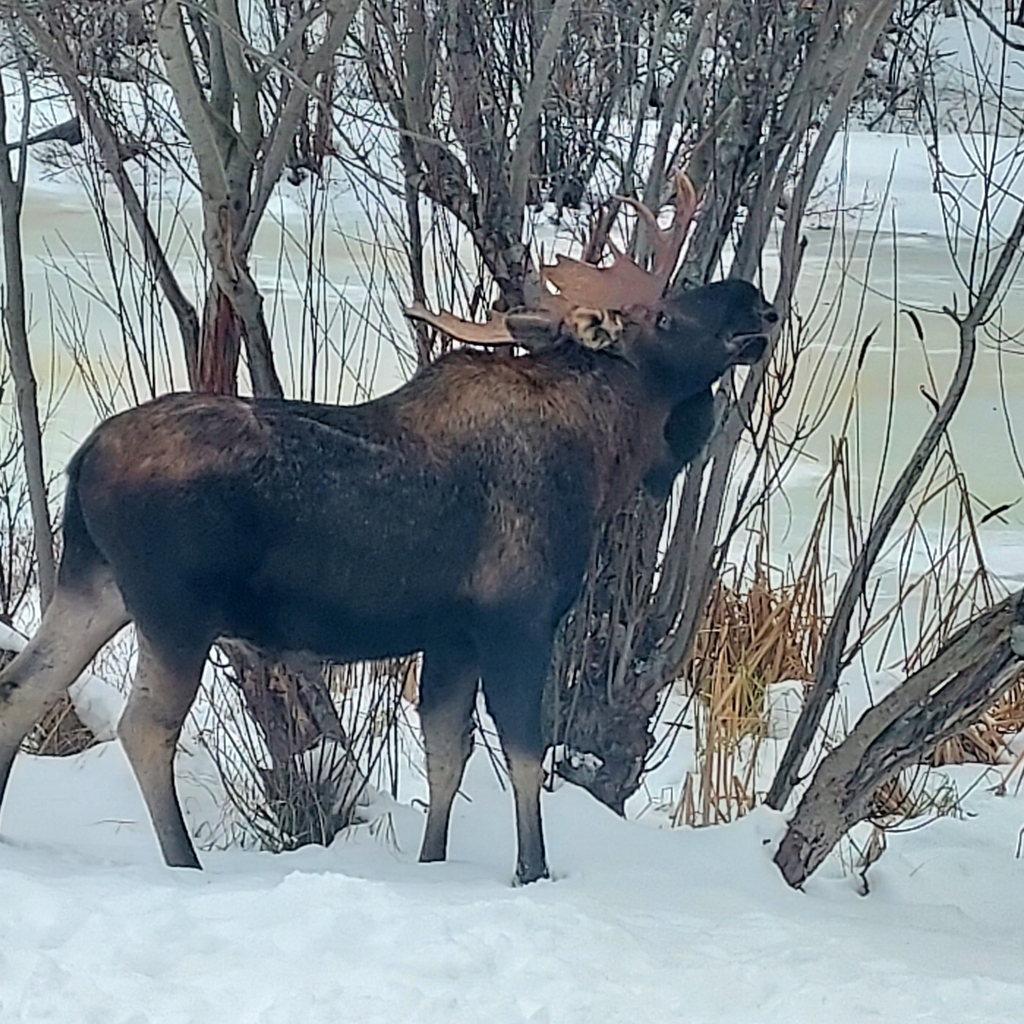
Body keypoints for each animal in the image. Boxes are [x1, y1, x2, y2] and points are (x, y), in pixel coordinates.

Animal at [0, 175, 775, 884]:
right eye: (663, 314)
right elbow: (525, 756)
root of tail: (81, 460)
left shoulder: (451, 636)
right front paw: (532, 870)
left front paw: (433, 863)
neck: (605, 457)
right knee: (143, 728)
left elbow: (445, 756)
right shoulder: (516, 619)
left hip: (94, 584)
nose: (759, 303)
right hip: (174, 607)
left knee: (23, 689)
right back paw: (184, 864)